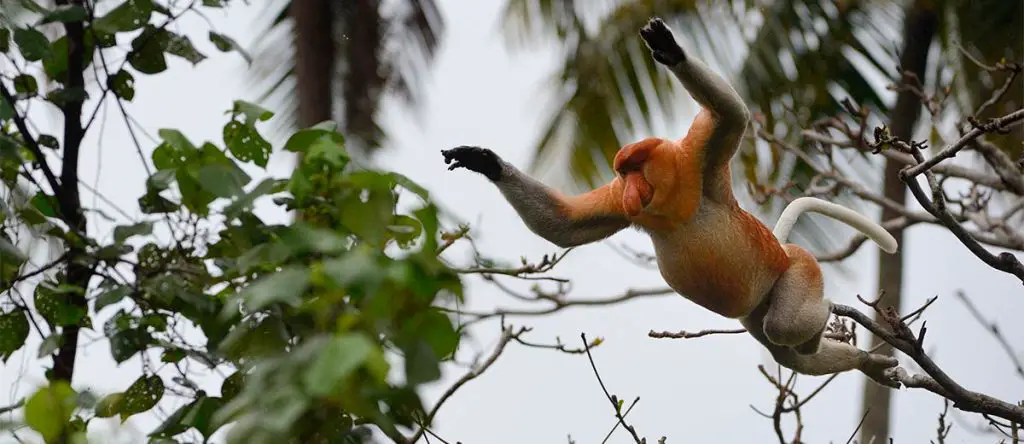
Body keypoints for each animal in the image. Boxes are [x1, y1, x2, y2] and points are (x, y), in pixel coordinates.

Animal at [440, 17, 902, 387]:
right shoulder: (621, 201)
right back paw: (859, 360)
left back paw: (825, 322)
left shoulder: (693, 160)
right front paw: (484, 161)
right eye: (622, 172)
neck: (666, 201)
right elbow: (564, 224)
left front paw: (669, 49)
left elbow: (731, 116)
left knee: (786, 326)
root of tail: (784, 248)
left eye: (636, 167)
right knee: (783, 349)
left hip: (799, 270)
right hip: (758, 305)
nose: (629, 189)